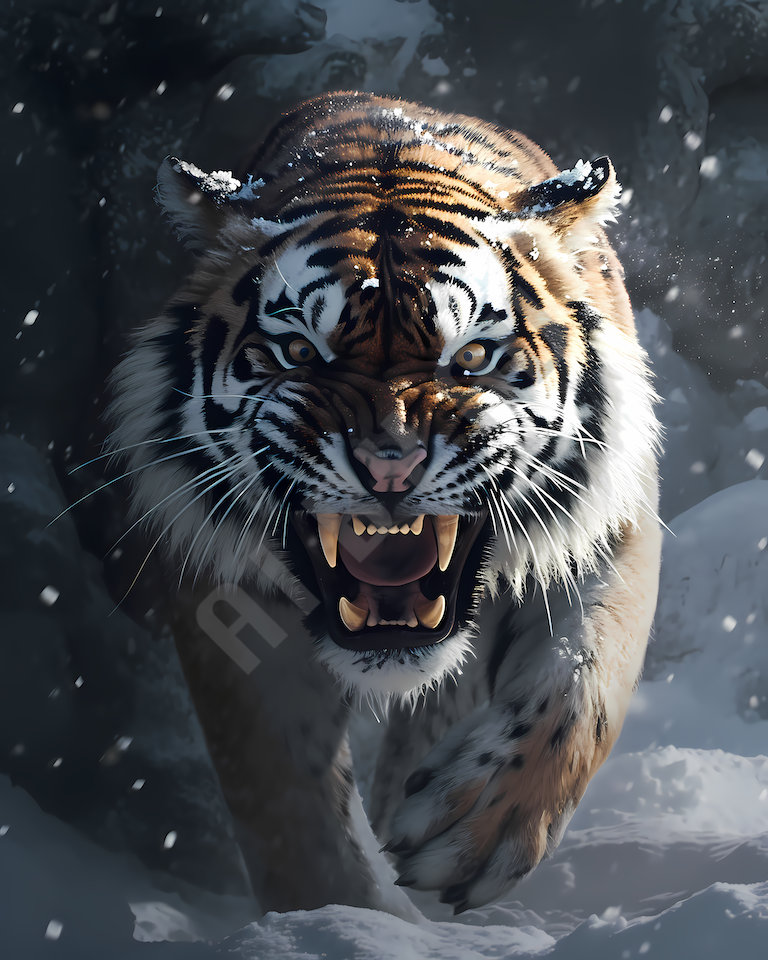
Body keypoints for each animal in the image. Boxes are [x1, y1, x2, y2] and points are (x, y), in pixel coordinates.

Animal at [108, 91, 661, 916]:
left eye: (471, 356)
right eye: (300, 353)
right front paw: (350, 921)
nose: (389, 465)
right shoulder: (228, 607)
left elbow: (586, 678)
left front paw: (472, 831)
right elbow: (289, 808)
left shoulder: (612, 518)